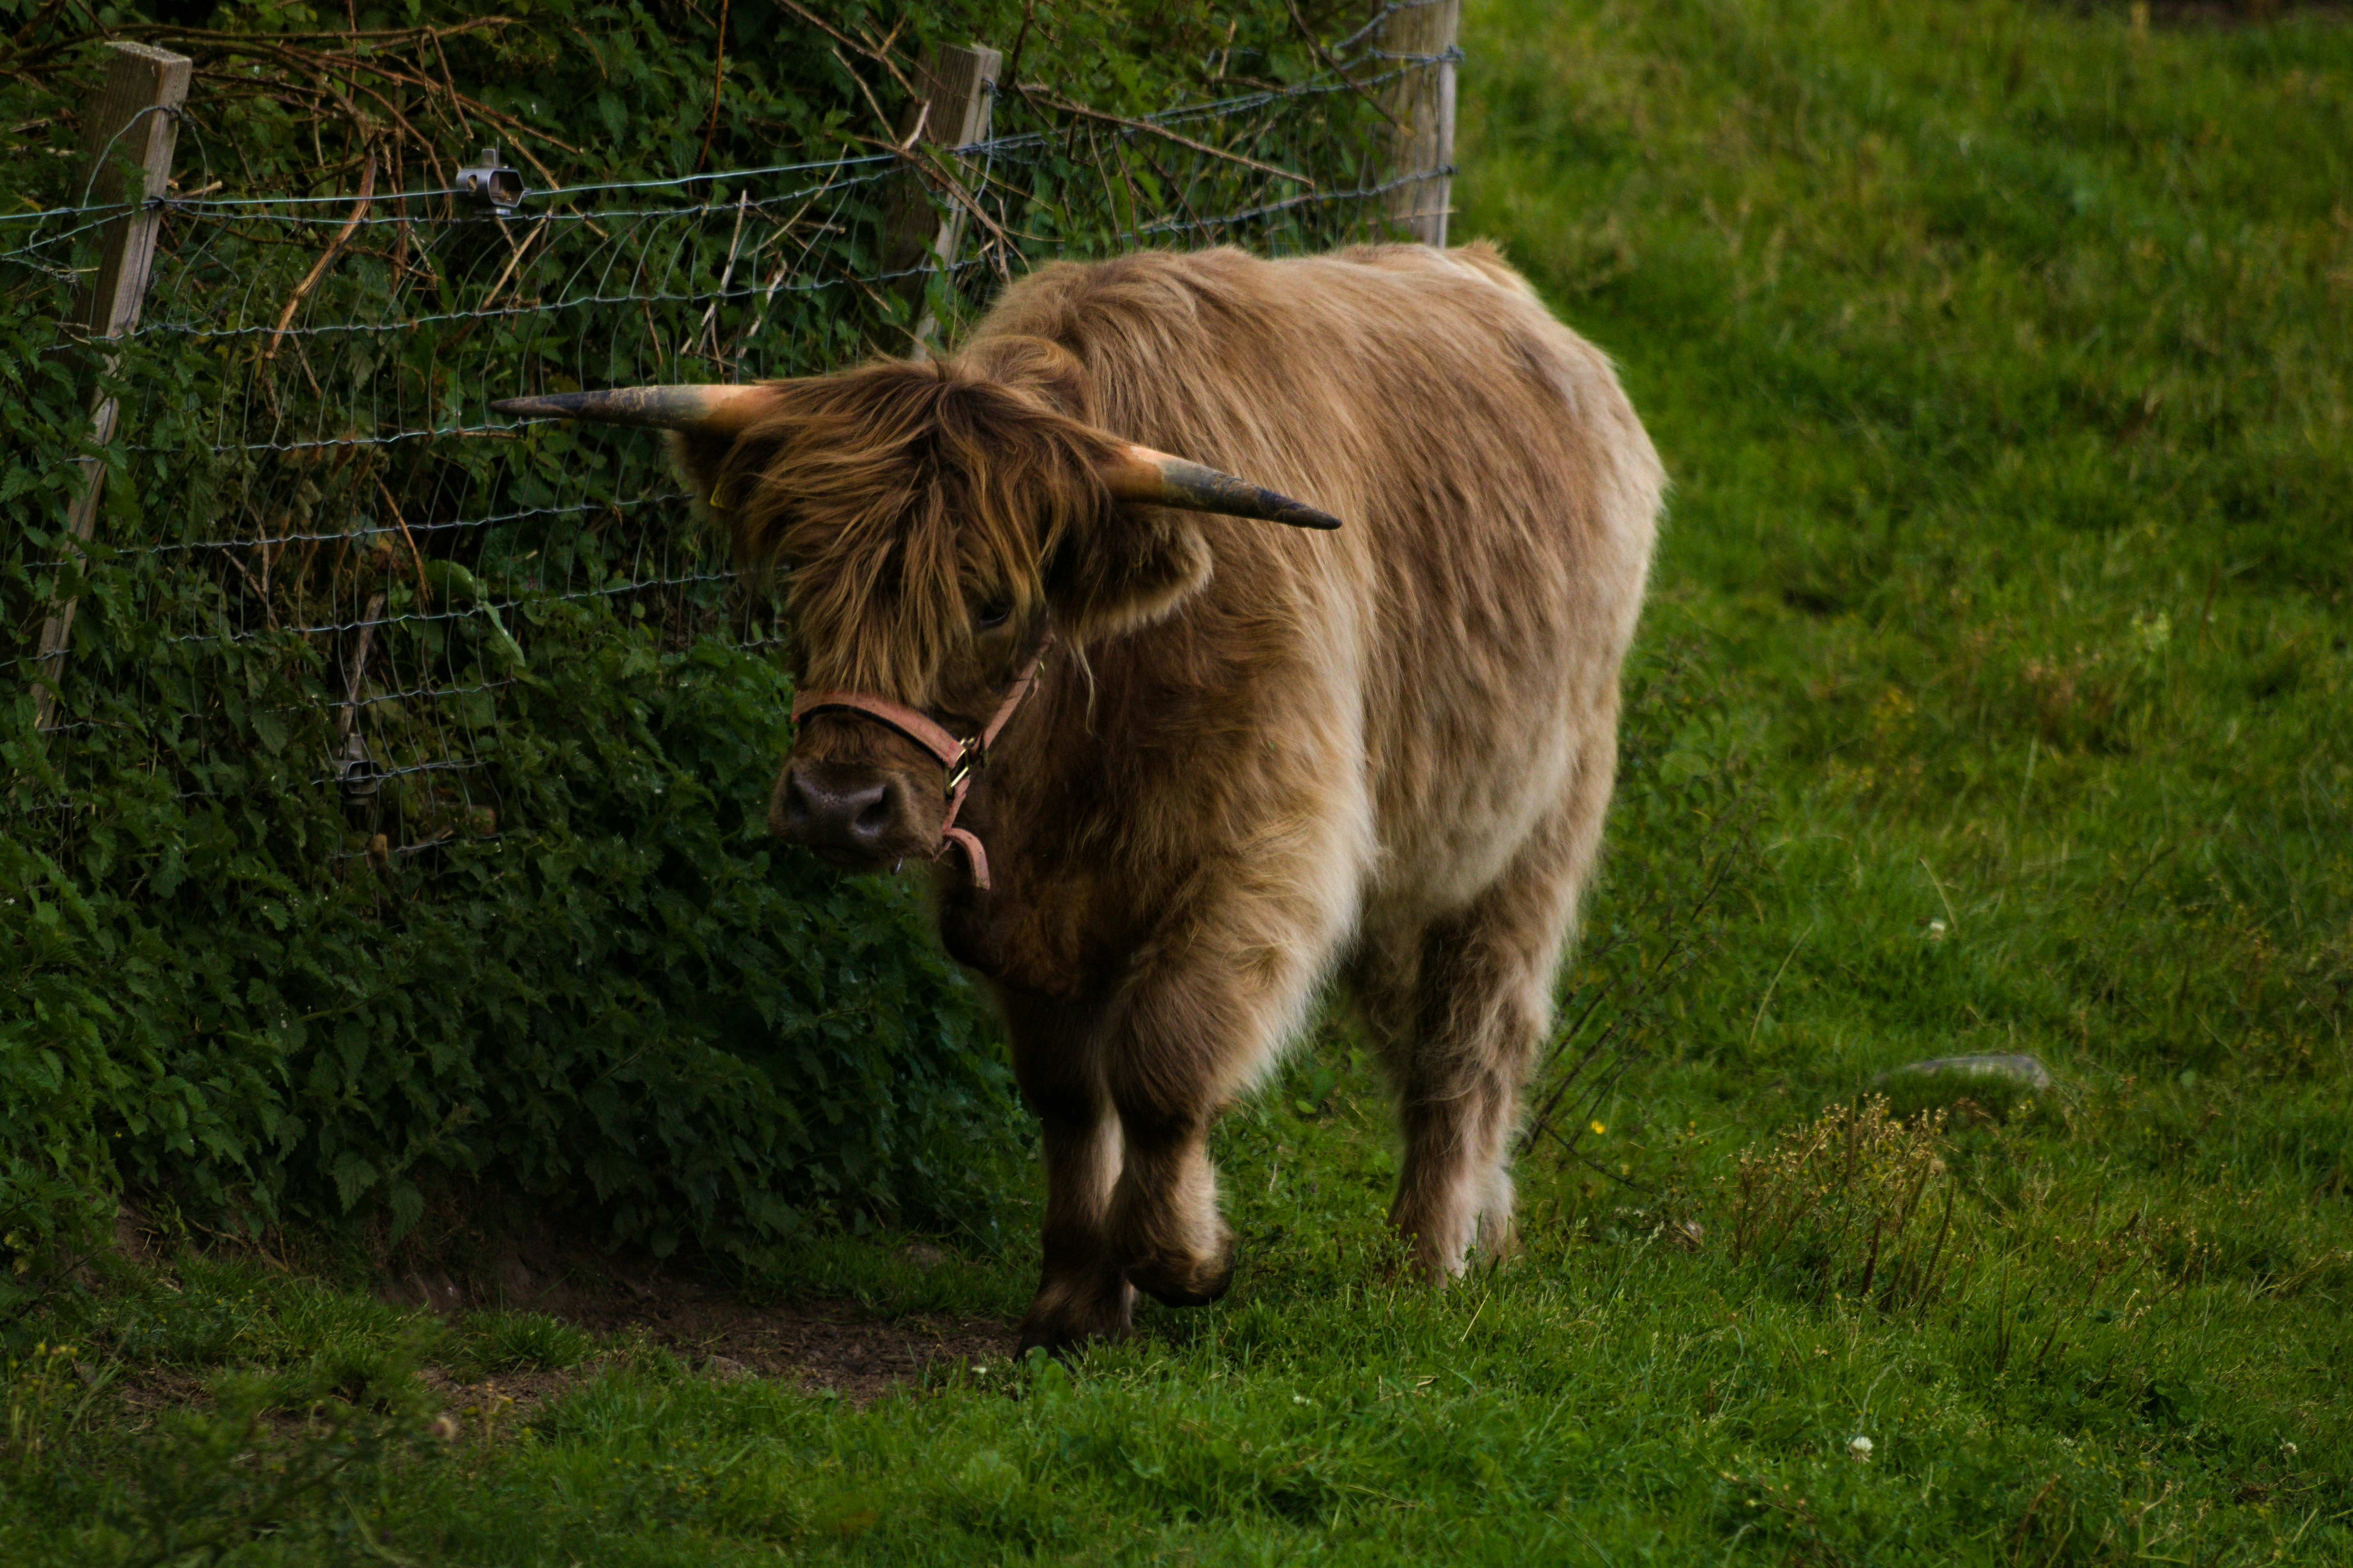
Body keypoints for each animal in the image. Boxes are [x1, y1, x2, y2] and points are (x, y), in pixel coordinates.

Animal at [495, 242, 1663, 1355]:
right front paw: (1073, 1299)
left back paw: (1426, 1256)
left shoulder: (1261, 848)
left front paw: (1183, 1258)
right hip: (1414, 858)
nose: (836, 802)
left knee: (1469, 1039)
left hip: (1532, 829)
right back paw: (1486, 1227)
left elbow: (1161, 1062)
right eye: (797, 578)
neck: (1080, 727)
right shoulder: (1015, 905)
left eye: (991, 603)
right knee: (1413, 1020)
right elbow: (1065, 1092)